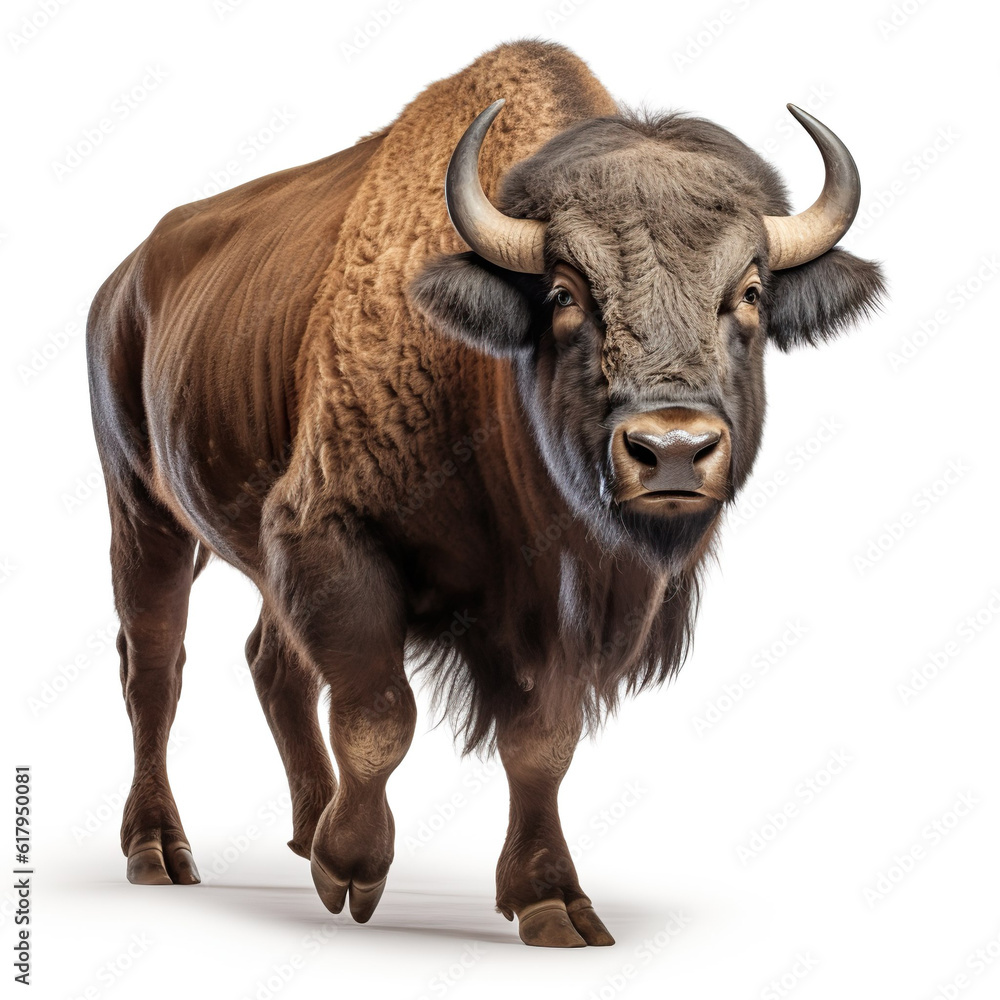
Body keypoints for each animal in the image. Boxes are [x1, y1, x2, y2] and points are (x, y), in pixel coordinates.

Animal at [86, 40, 884, 947]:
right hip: (143, 513)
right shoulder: (328, 535)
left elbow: (541, 744)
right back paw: (160, 851)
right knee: (155, 667)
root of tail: (125, 279)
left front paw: (552, 902)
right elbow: (379, 716)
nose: (673, 450)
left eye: (749, 293)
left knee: (270, 663)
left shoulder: (556, 614)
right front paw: (353, 871)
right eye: (565, 293)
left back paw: (305, 829)